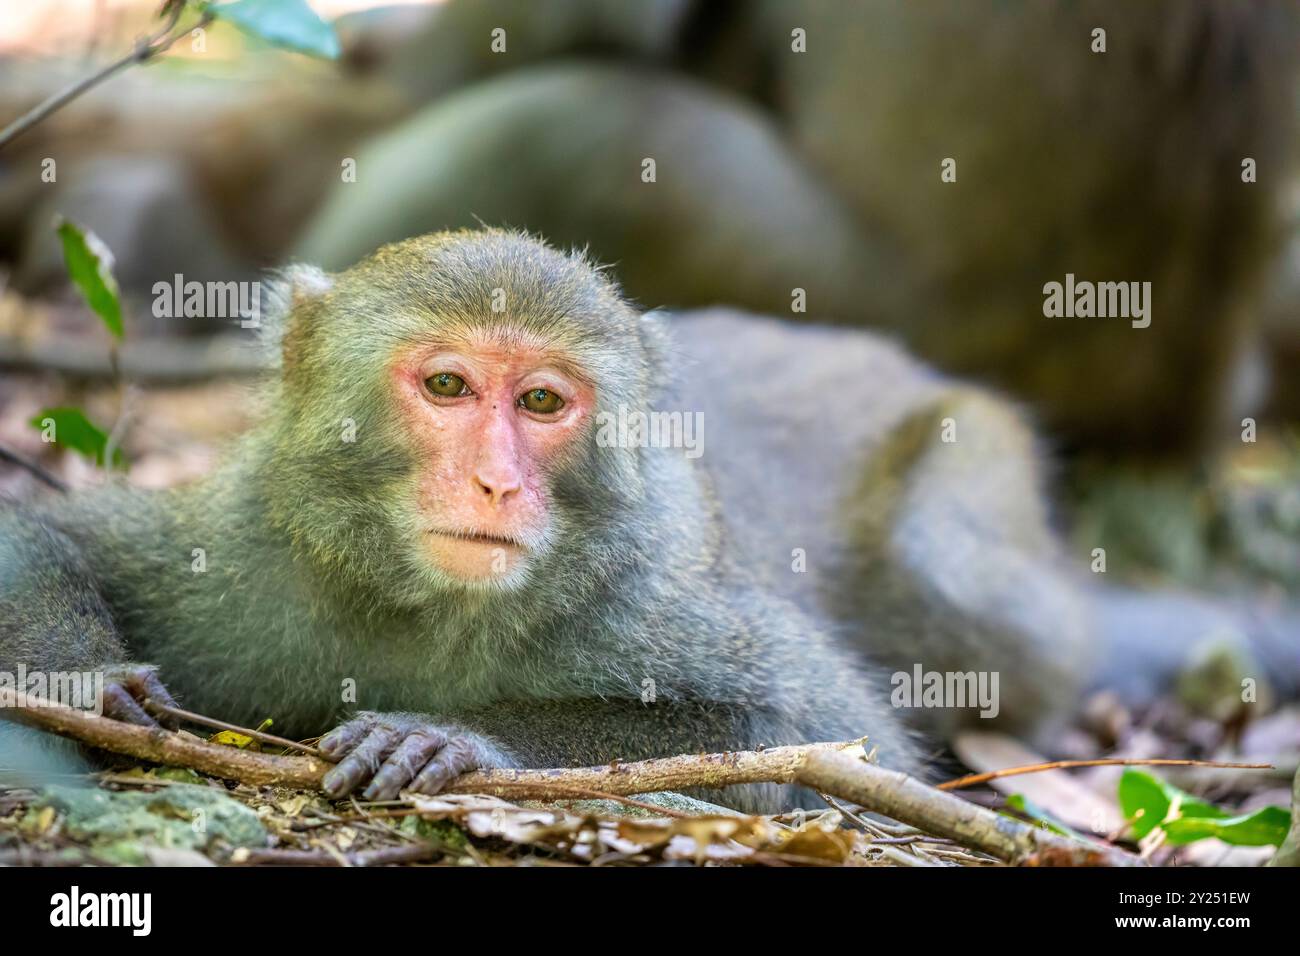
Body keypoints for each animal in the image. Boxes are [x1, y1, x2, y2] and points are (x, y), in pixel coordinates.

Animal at [0, 229, 923, 814]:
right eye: (448, 386)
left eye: (542, 401)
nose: (496, 482)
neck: (437, 609)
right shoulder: (245, 543)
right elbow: (43, 532)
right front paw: (83, 681)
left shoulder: (645, 592)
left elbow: (790, 735)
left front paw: (447, 737)